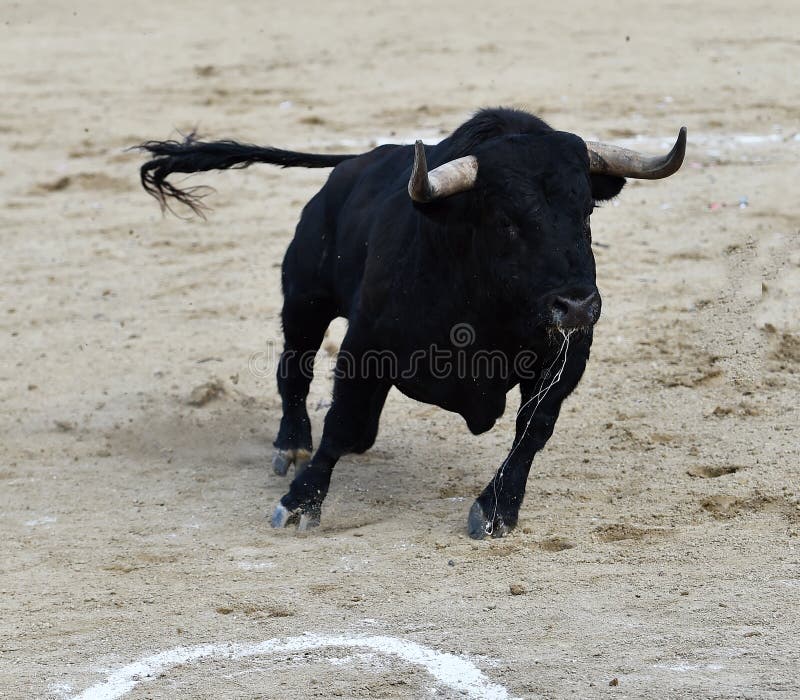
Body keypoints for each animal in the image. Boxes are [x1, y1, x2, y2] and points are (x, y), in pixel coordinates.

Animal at [139, 108, 686, 538]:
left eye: (586, 211)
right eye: (506, 220)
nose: (576, 305)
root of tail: (350, 166)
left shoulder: (566, 357)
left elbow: (533, 429)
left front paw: (497, 510)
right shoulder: (365, 345)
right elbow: (339, 422)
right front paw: (298, 502)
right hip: (304, 301)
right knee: (295, 371)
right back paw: (291, 445)